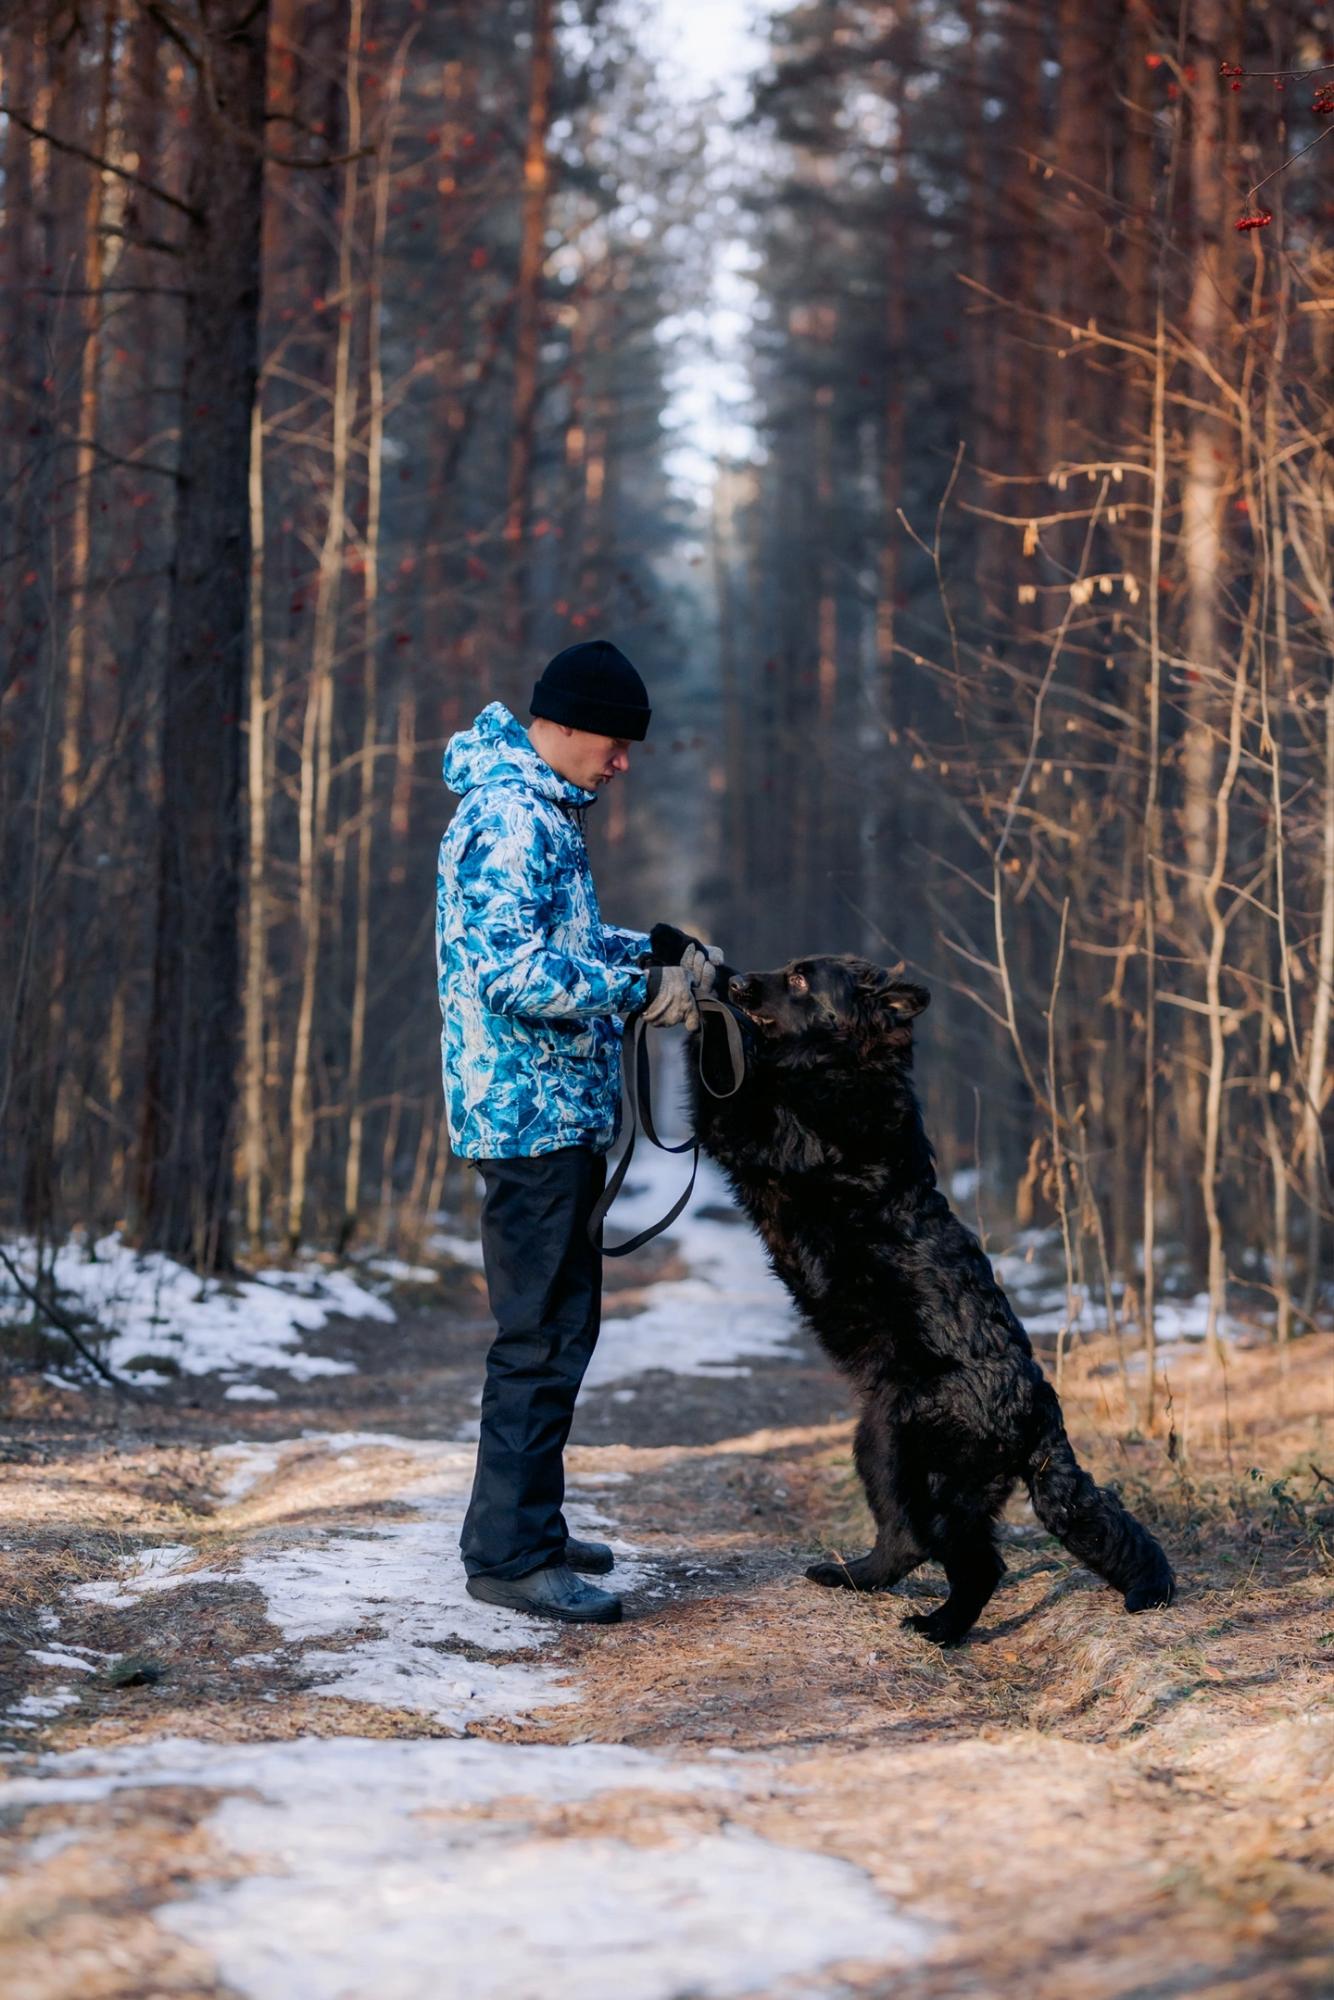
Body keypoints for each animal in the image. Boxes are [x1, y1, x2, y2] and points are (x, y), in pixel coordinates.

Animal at [664, 932, 1176, 1640]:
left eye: (800, 980)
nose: (741, 981)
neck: (842, 1065)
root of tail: (1038, 1410)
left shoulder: (749, 1124)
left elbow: (721, 1059)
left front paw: (699, 978)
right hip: (923, 1468)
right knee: (945, 1553)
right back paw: (894, 1599)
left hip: (898, 1447)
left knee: (943, 1553)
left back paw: (918, 1617)